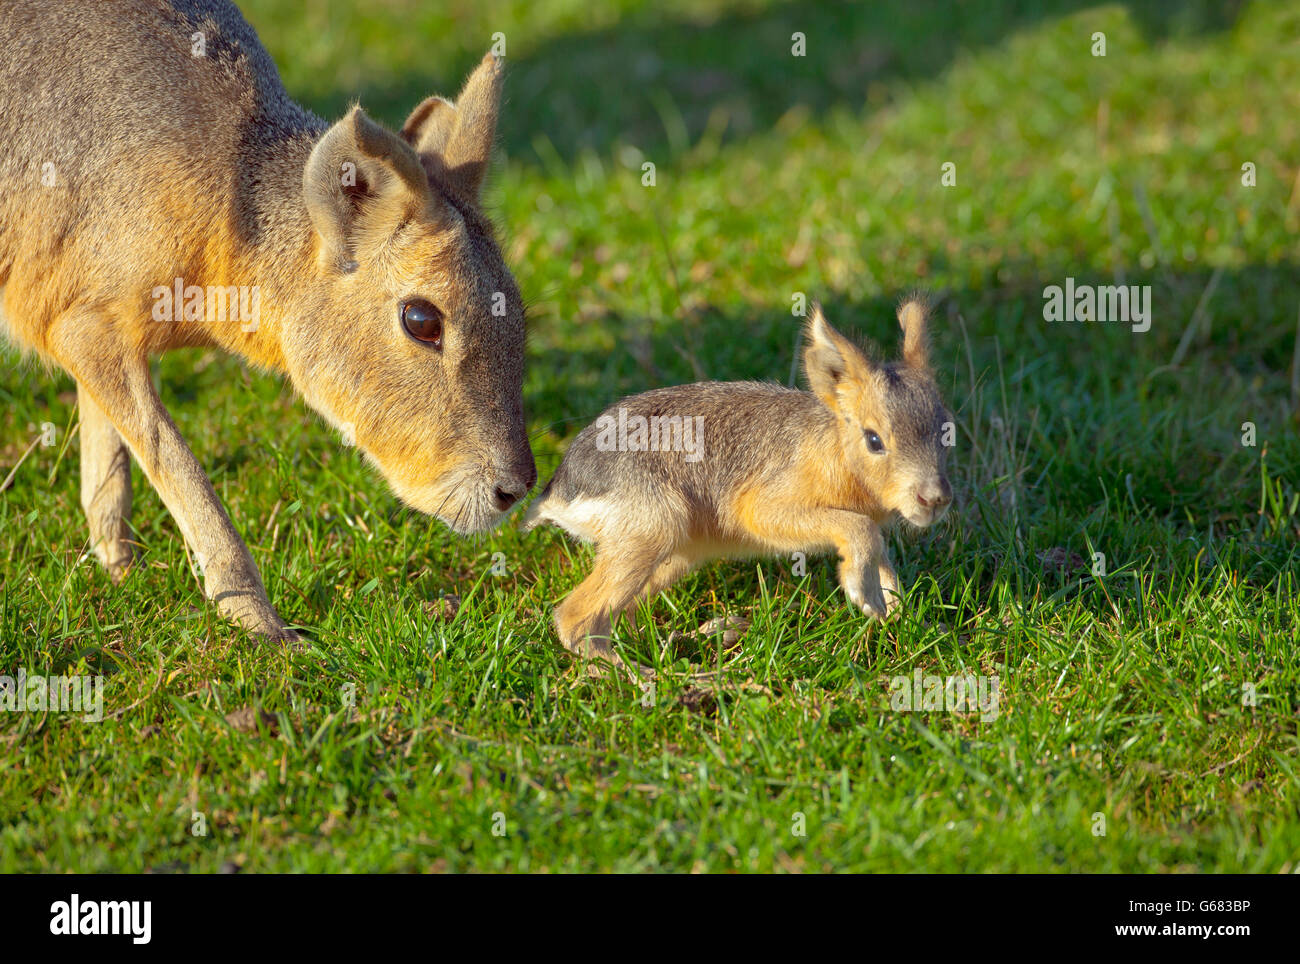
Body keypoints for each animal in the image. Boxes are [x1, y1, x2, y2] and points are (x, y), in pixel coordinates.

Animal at [0, 0, 536, 641]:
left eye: (518, 313)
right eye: (421, 320)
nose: (515, 489)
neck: (230, 209)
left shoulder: (91, 323)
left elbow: (109, 456)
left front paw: (118, 568)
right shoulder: (84, 327)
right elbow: (173, 459)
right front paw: (263, 624)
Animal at [526, 300, 953, 677]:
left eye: (946, 429)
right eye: (874, 440)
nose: (935, 499)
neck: (835, 452)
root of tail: (557, 489)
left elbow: (882, 558)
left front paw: (900, 618)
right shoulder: (762, 510)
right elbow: (859, 531)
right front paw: (861, 595)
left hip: (675, 553)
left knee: (620, 614)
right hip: (654, 531)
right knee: (574, 617)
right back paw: (652, 675)